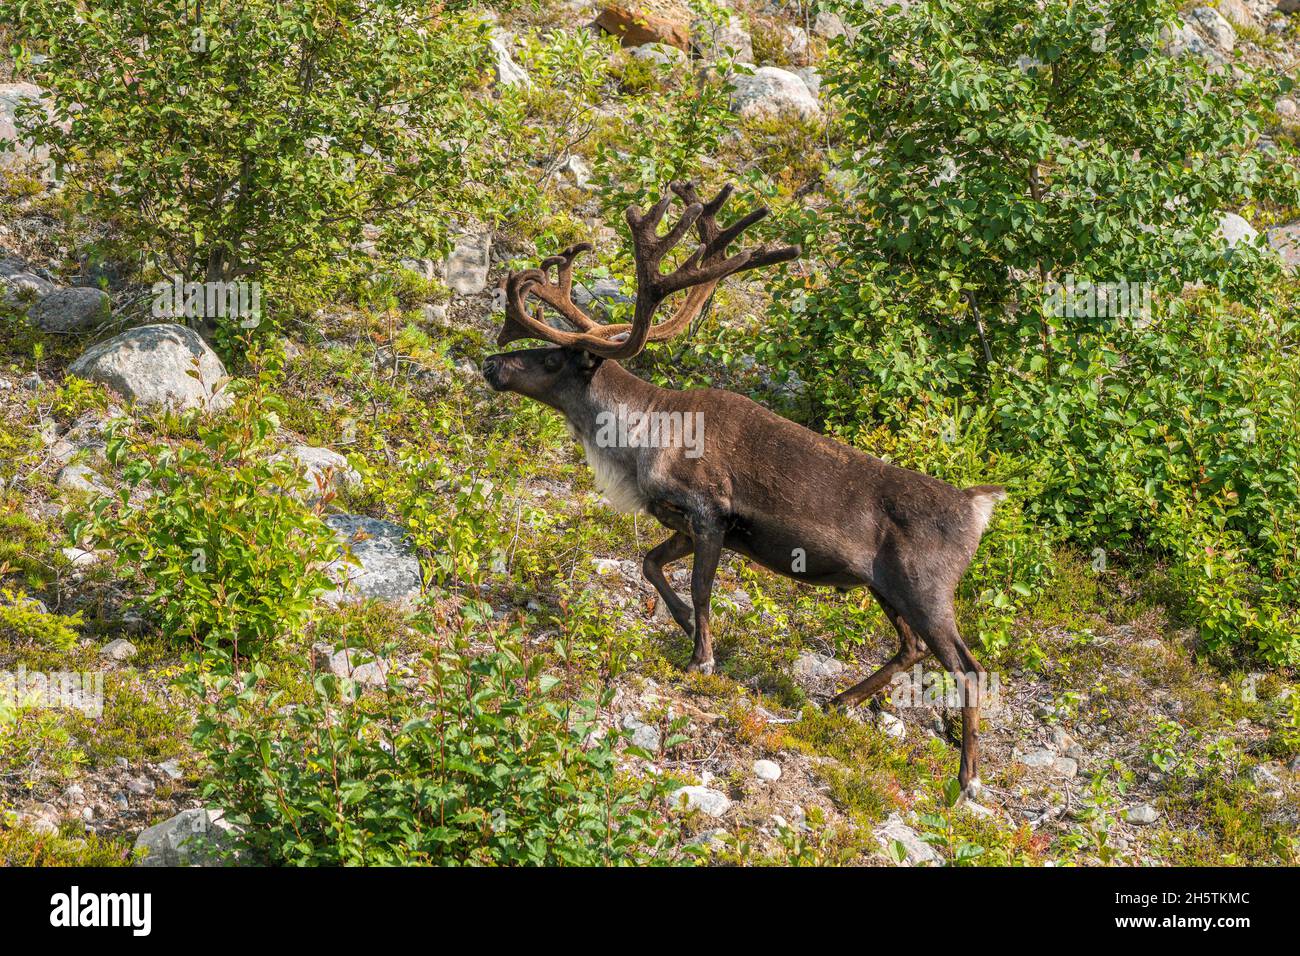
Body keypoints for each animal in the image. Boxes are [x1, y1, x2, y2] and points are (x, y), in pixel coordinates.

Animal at [480, 182, 1004, 794]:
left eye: (550, 355)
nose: (490, 364)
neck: (639, 439)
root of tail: (978, 505)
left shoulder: (711, 512)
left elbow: (703, 588)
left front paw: (700, 658)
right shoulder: (683, 522)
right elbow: (649, 563)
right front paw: (686, 625)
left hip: (927, 589)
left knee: (968, 668)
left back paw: (966, 780)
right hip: (884, 586)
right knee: (911, 646)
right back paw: (835, 702)